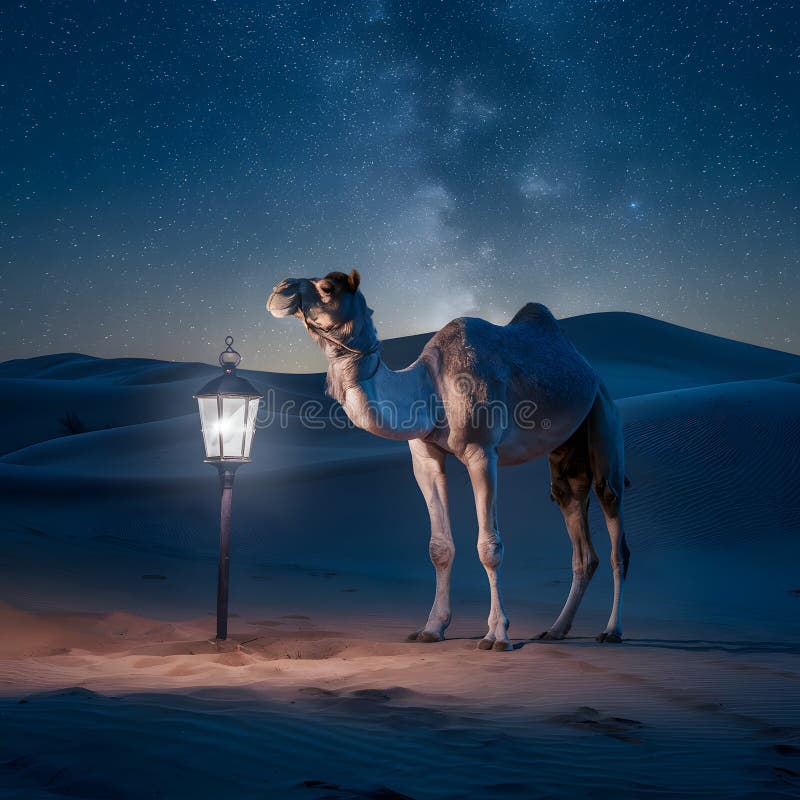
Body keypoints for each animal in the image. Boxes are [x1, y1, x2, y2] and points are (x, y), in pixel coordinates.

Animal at [267, 270, 630, 651]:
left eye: (326, 287)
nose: (279, 291)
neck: (429, 388)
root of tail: (589, 370)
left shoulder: (482, 452)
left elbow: (489, 546)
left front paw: (498, 634)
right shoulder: (424, 455)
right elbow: (438, 547)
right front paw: (432, 627)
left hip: (604, 413)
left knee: (613, 518)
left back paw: (612, 630)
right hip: (568, 448)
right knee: (575, 520)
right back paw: (556, 629)